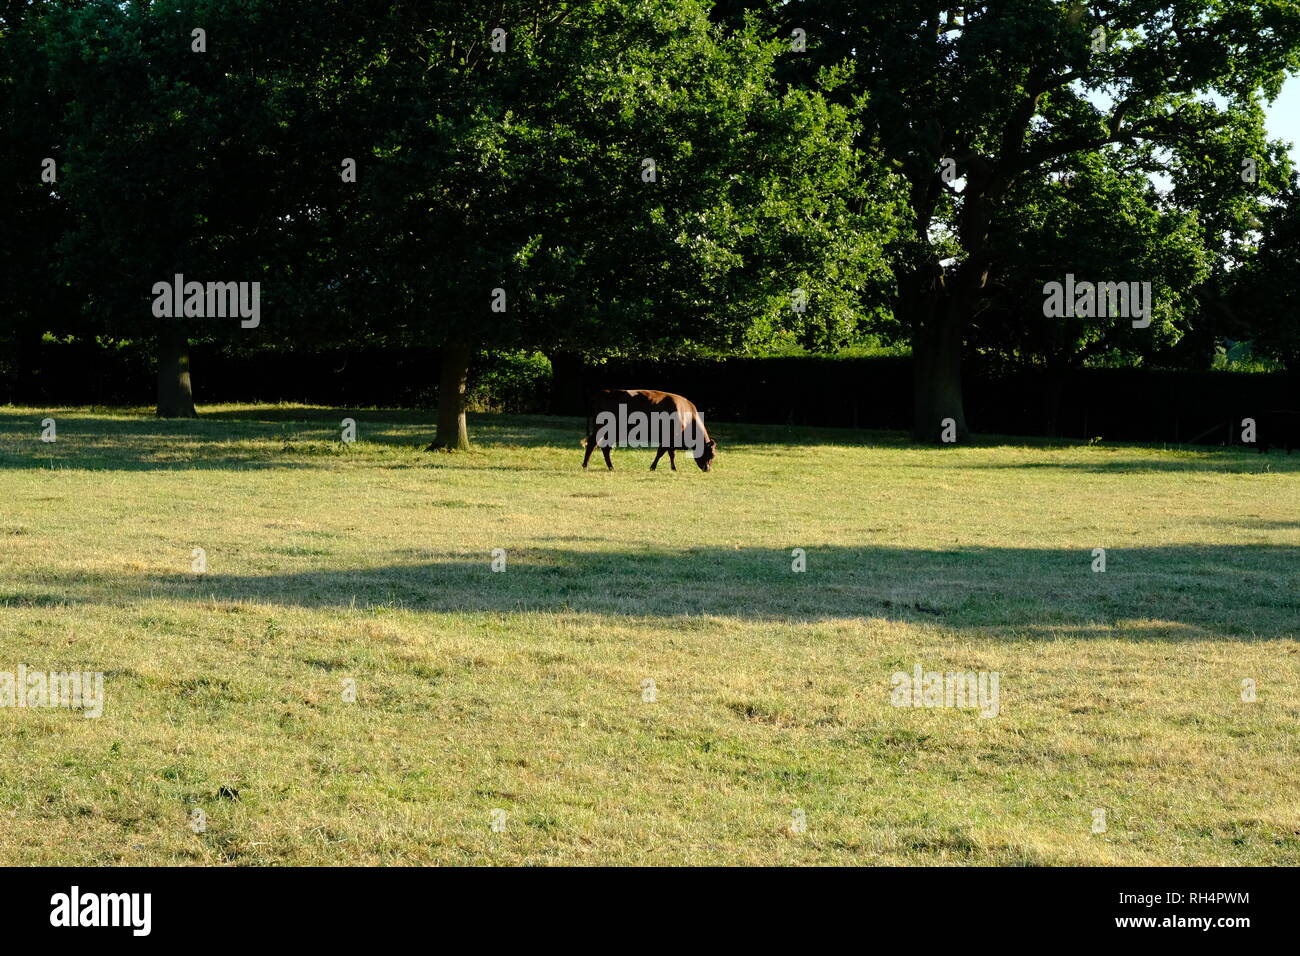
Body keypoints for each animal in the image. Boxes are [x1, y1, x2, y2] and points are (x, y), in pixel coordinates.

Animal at [582, 389, 716, 471]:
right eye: (711, 454)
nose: (708, 469)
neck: (686, 416)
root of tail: (601, 392)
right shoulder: (668, 439)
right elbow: (661, 453)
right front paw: (653, 467)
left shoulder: (671, 441)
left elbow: (671, 454)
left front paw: (673, 468)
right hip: (601, 428)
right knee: (592, 444)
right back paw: (585, 465)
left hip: (614, 432)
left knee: (605, 448)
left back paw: (611, 467)